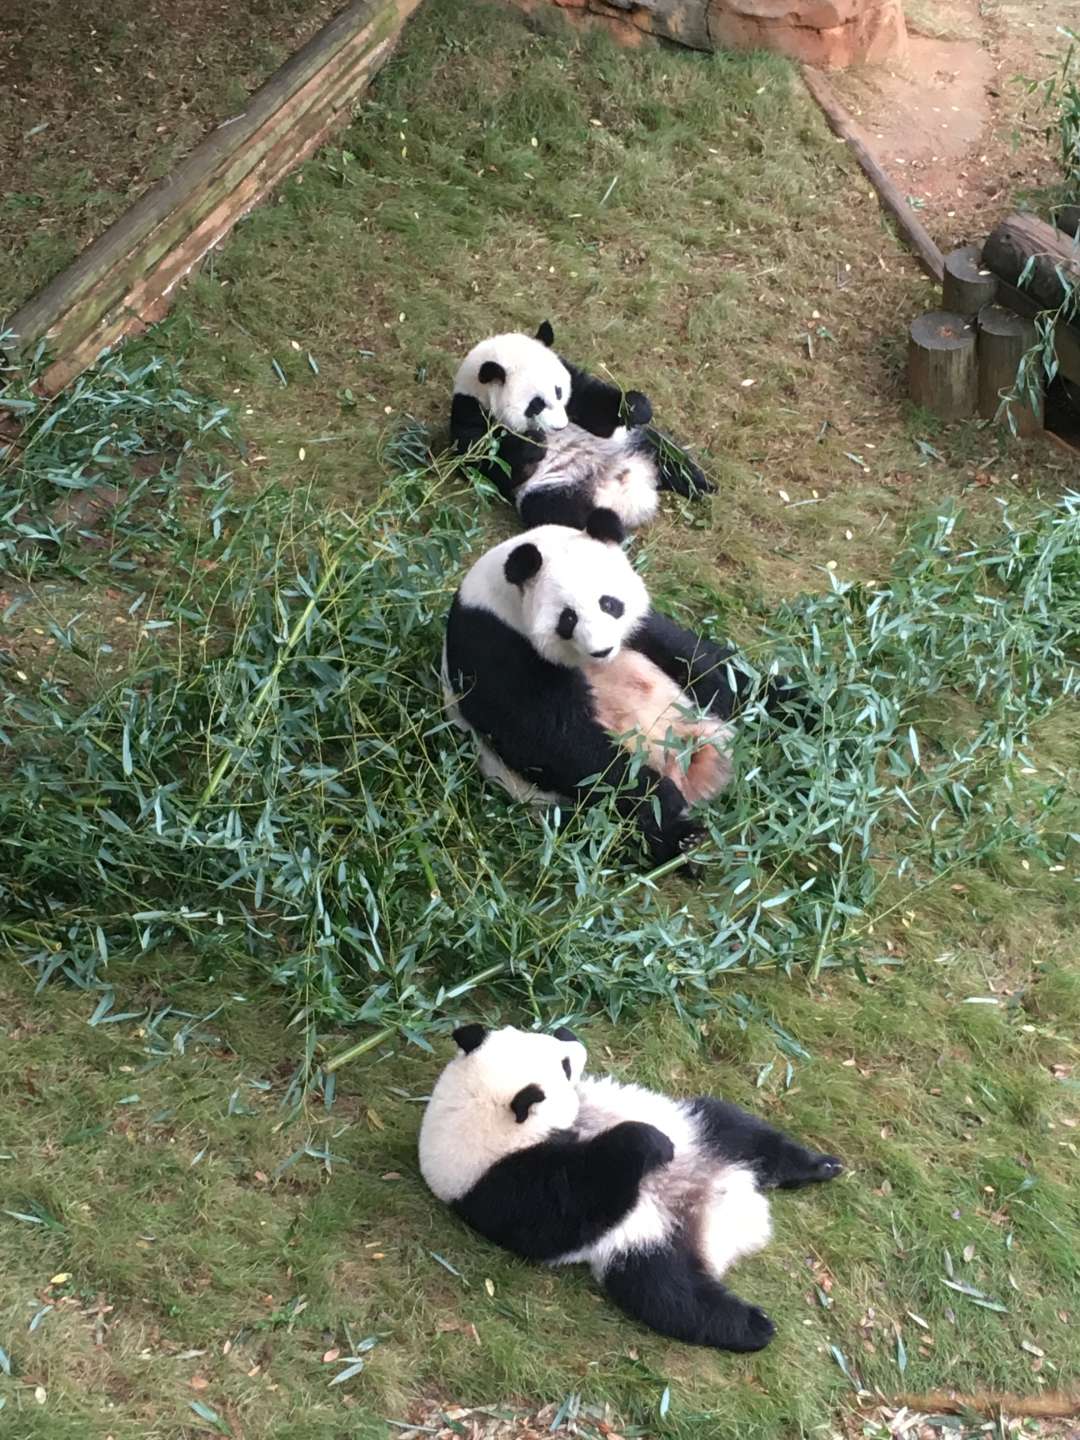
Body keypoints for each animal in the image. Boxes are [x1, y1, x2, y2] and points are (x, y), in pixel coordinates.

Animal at [418, 1024, 843, 1352]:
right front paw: (650, 1145)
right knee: (670, 1293)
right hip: (642, 1241)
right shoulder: (505, 1186)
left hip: (698, 1132)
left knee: (744, 1134)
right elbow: (573, 1200)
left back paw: (821, 1166)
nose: (571, 1036)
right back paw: (755, 1326)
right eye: (564, 1066)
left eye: (547, 1039)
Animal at [442, 507, 802, 866]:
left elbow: (697, 659)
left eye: (609, 603)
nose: (602, 650)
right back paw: (684, 839)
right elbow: (550, 737)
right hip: (555, 801)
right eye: (568, 618)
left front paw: (726, 693)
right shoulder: (493, 642)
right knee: (620, 821)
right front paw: (660, 795)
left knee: (764, 688)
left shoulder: (639, 628)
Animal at [450, 321, 713, 532]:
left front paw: (634, 407)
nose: (560, 426)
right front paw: (533, 444)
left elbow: (597, 409)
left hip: (633, 443)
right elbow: (484, 463)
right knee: (559, 512)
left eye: (558, 391)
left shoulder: (574, 385)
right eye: (536, 404)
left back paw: (705, 487)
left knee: (670, 457)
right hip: (556, 487)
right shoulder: (470, 410)